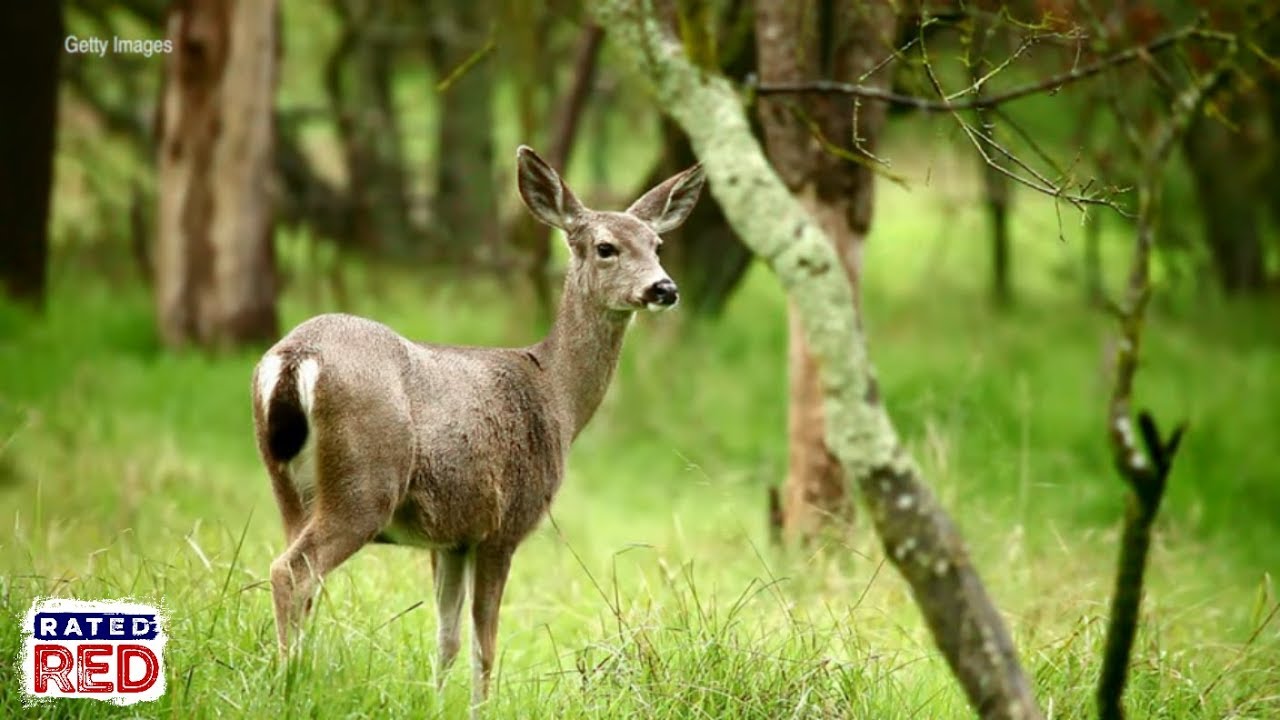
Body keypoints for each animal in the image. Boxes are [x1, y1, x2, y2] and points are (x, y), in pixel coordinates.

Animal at [250, 145, 705, 708]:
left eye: (657, 244)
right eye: (606, 247)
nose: (664, 288)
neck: (556, 395)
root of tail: (295, 357)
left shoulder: (452, 537)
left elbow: (445, 638)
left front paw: (436, 703)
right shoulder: (502, 524)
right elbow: (484, 643)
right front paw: (479, 706)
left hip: (288, 487)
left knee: (299, 575)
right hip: (365, 484)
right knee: (292, 571)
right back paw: (288, 683)